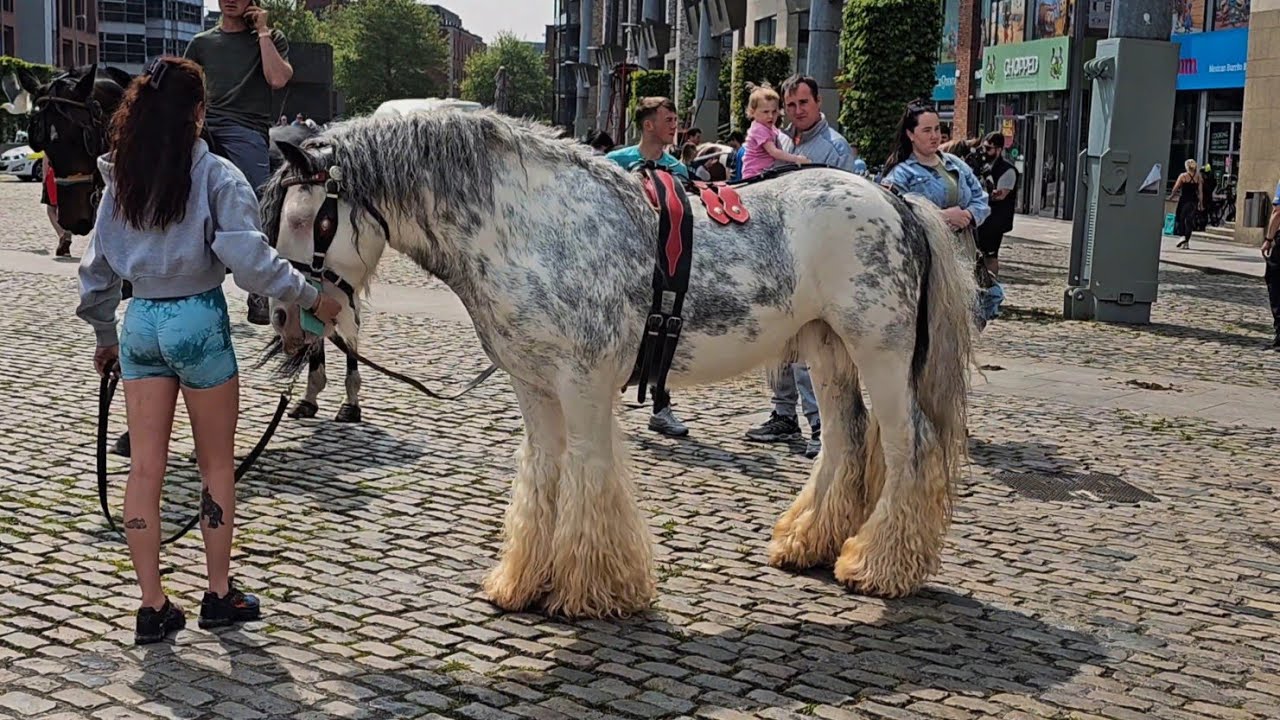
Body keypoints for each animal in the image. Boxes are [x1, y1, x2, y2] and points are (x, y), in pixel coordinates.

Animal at [262, 109, 977, 619]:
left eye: (314, 220)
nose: (286, 320)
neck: (532, 228)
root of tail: (894, 200)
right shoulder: (533, 386)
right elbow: (543, 473)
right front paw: (521, 581)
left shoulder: (581, 383)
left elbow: (588, 472)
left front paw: (593, 591)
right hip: (826, 350)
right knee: (846, 439)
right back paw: (809, 544)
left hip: (880, 351)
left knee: (908, 444)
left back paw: (879, 567)